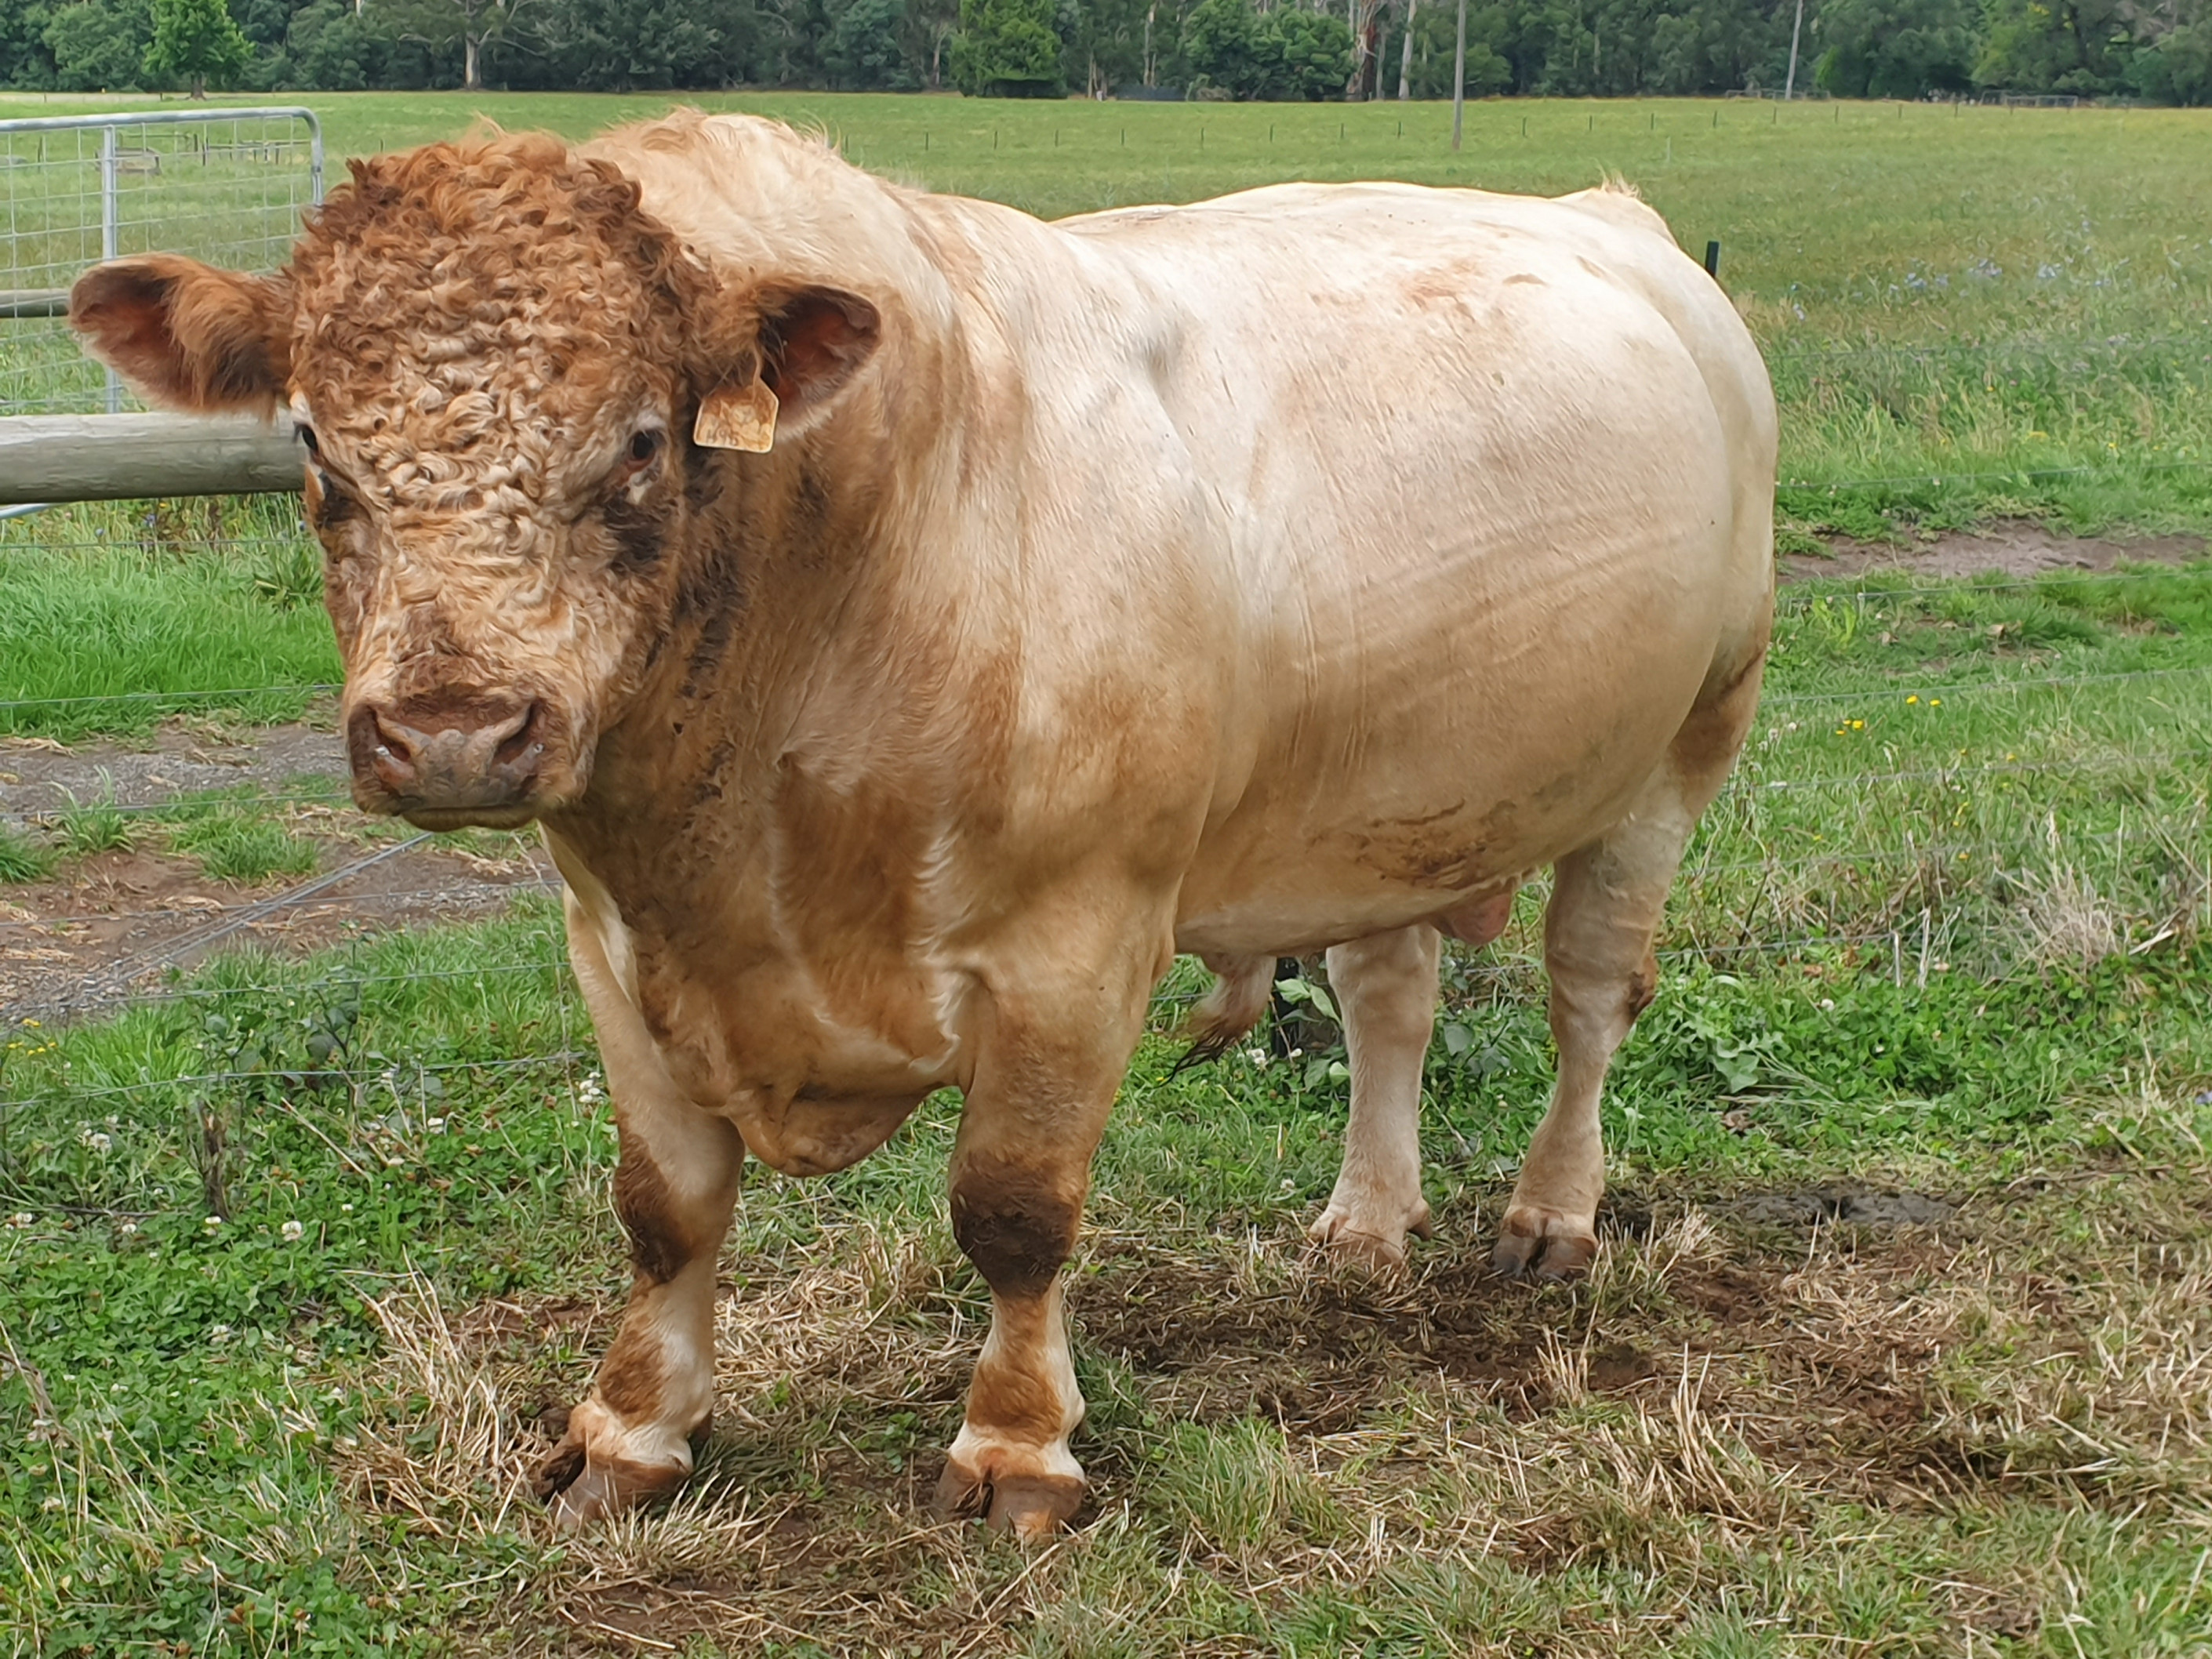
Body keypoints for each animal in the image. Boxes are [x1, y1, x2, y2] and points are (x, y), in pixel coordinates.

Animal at [71, 110, 1776, 1539]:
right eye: (310, 445)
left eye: (642, 438)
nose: (451, 733)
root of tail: (1618, 219)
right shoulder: (613, 937)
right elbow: (664, 1208)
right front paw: (630, 1430)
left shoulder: (1078, 939)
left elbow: (1013, 1213)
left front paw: (1017, 1447)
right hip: (1383, 806)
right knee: (1388, 994)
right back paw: (1364, 1223)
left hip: (1686, 742)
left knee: (1590, 993)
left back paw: (1550, 1216)